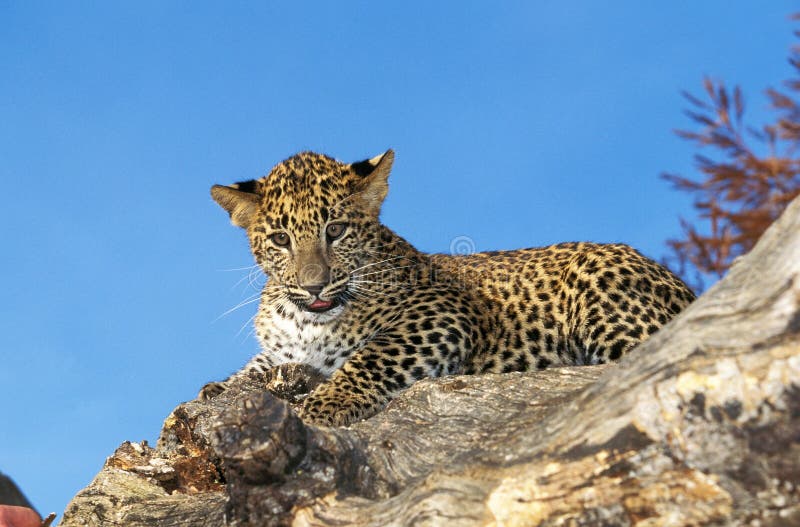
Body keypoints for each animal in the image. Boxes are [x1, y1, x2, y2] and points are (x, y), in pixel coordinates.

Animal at [201, 149, 695, 426]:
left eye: (336, 230)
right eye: (281, 239)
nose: (315, 285)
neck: (307, 322)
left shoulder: (443, 310)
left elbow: (373, 355)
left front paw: (327, 403)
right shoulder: (283, 351)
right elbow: (255, 367)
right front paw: (216, 391)